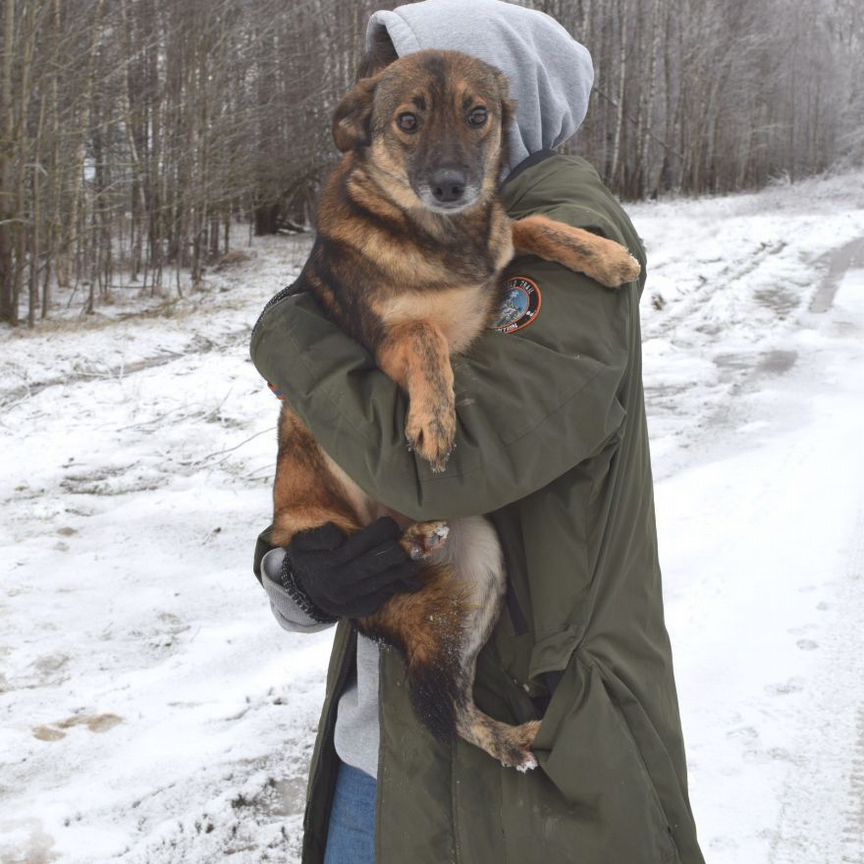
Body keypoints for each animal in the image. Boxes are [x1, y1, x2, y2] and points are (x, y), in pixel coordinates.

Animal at [272, 49, 640, 768]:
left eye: (477, 116)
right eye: (408, 121)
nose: (450, 186)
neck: (443, 240)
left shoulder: (498, 242)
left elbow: (526, 224)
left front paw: (605, 255)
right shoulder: (385, 344)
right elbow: (425, 334)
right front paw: (435, 423)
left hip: (482, 571)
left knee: (459, 706)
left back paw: (511, 737)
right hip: (326, 529)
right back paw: (411, 534)